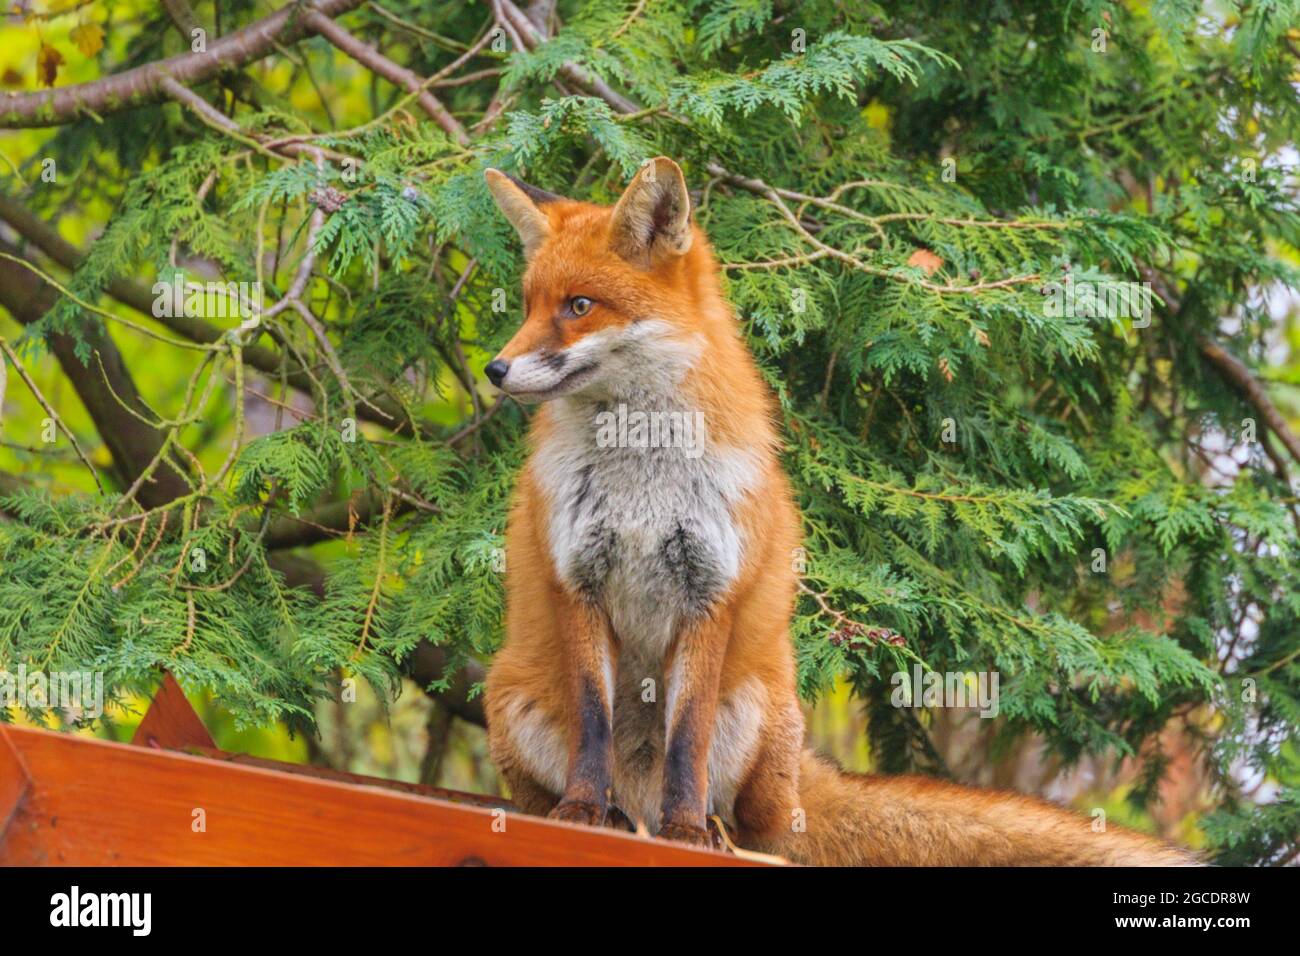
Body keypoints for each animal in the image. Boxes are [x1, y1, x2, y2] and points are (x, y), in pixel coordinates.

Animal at [479, 157, 1198, 866]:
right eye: (527, 305)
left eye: (578, 306)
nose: (495, 369)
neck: (643, 482)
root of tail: (799, 773)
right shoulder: (577, 582)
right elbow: (592, 727)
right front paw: (578, 814)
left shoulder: (710, 591)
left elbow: (687, 739)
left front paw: (685, 833)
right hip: (511, 695)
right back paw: (609, 816)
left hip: (755, 704)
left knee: (761, 827)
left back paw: (709, 829)